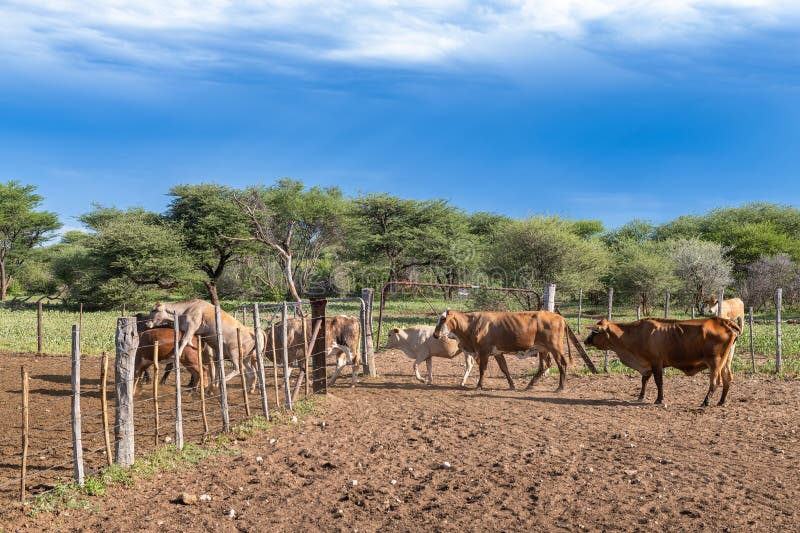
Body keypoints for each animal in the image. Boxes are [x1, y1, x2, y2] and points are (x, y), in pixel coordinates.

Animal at [433, 309, 571, 391]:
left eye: (443, 319)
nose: (435, 334)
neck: (472, 325)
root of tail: (560, 317)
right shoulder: (497, 353)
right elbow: (505, 369)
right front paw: (512, 385)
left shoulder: (484, 352)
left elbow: (482, 370)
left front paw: (479, 386)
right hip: (543, 349)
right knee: (545, 365)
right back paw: (529, 385)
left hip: (555, 348)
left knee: (562, 364)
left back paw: (560, 387)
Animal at [584, 317, 741, 406]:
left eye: (595, 331)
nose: (585, 341)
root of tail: (721, 321)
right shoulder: (647, 364)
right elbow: (644, 380)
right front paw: (641, 396)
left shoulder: (656, 362)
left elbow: (658, 381)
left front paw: (659, 399)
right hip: (726, 362)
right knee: (728, 379)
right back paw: (721, 401)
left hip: (715, 362)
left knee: (715, 382)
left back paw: (706, 402)